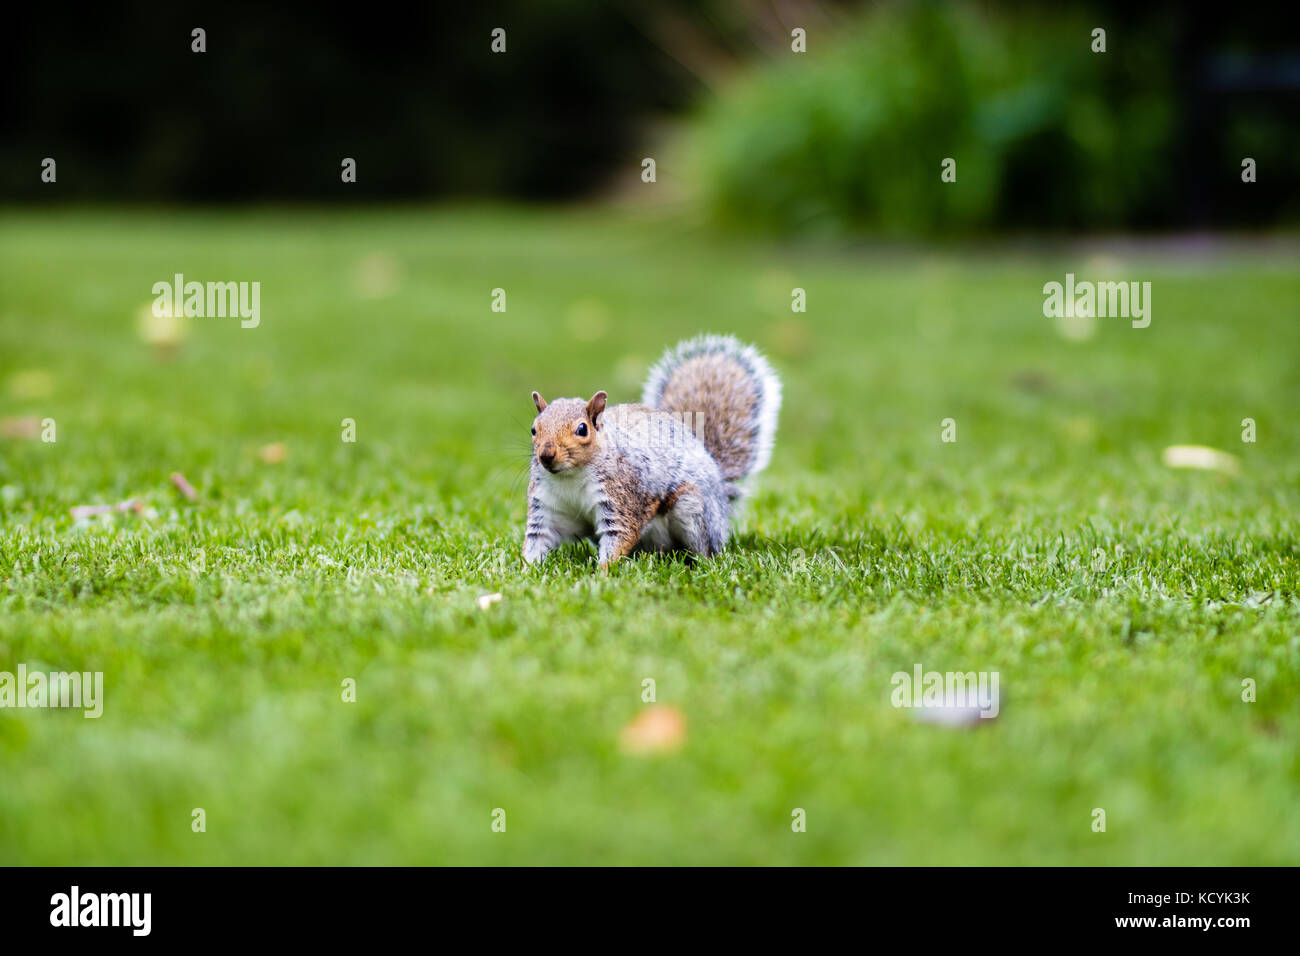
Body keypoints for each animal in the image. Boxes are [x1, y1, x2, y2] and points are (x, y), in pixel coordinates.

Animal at [524, 334, 781, 568]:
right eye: (534, 429)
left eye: (582, 429)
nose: (546, 455)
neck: (570, 478)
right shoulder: (547, 507)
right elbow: (538, 538)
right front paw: (527, 571)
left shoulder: (623, 497)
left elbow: (620, 534)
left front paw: (602, 574)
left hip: (692, 508)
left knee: (705, 547)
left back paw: (702, 564)